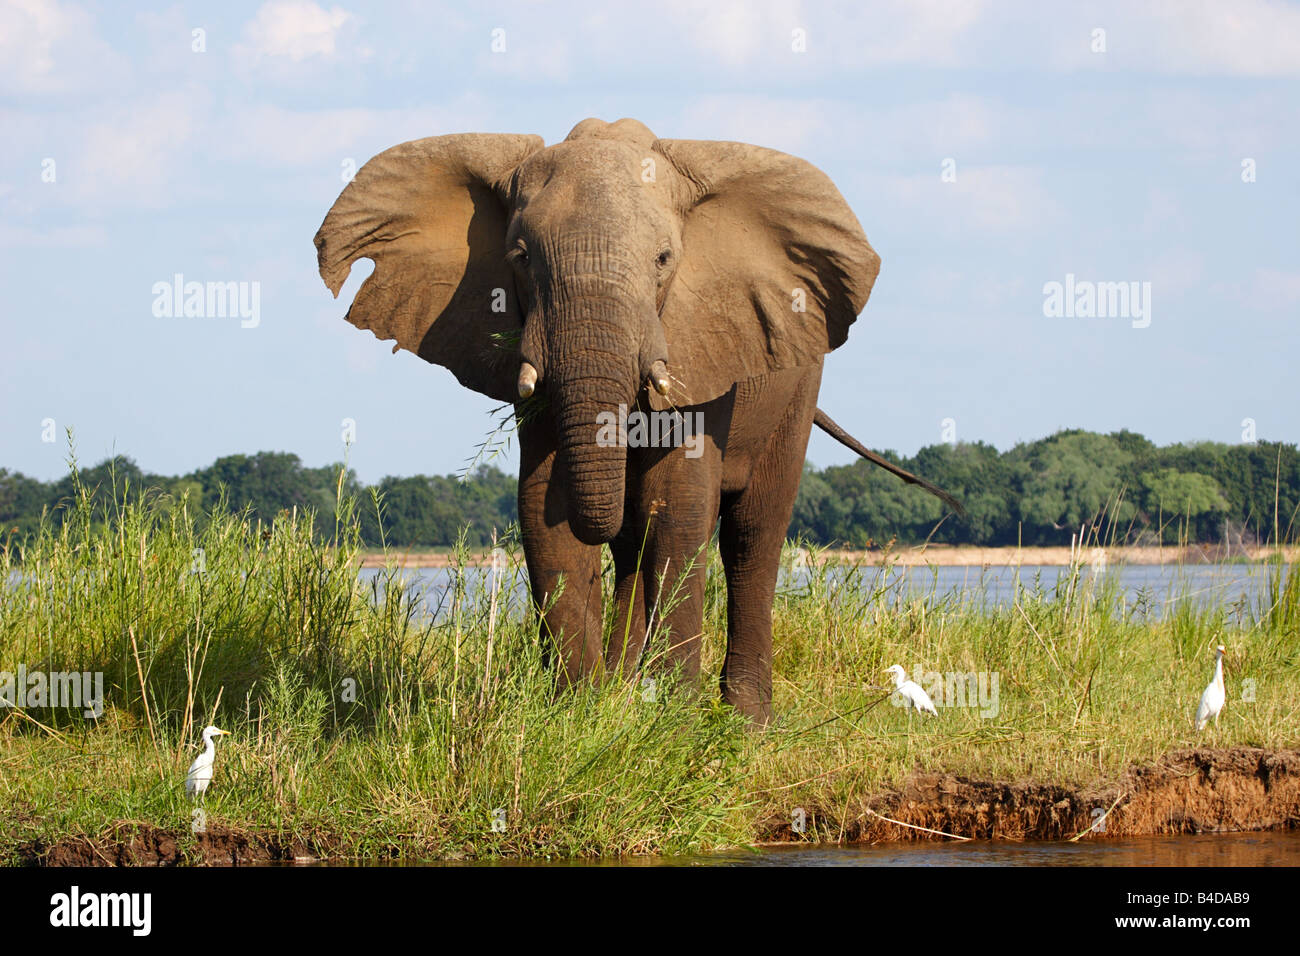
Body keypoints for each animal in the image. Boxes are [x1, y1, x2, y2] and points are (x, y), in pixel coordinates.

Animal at [315, 117, 960, 725]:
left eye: (663, 260)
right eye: (520, 259)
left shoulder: (700, 342)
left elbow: (675, 504)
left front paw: (673, 721)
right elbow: (544, 506)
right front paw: (580, 713)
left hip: (799, 379)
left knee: (751, 532)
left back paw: (745, 722)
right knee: (633, 542)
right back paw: (629, 687)